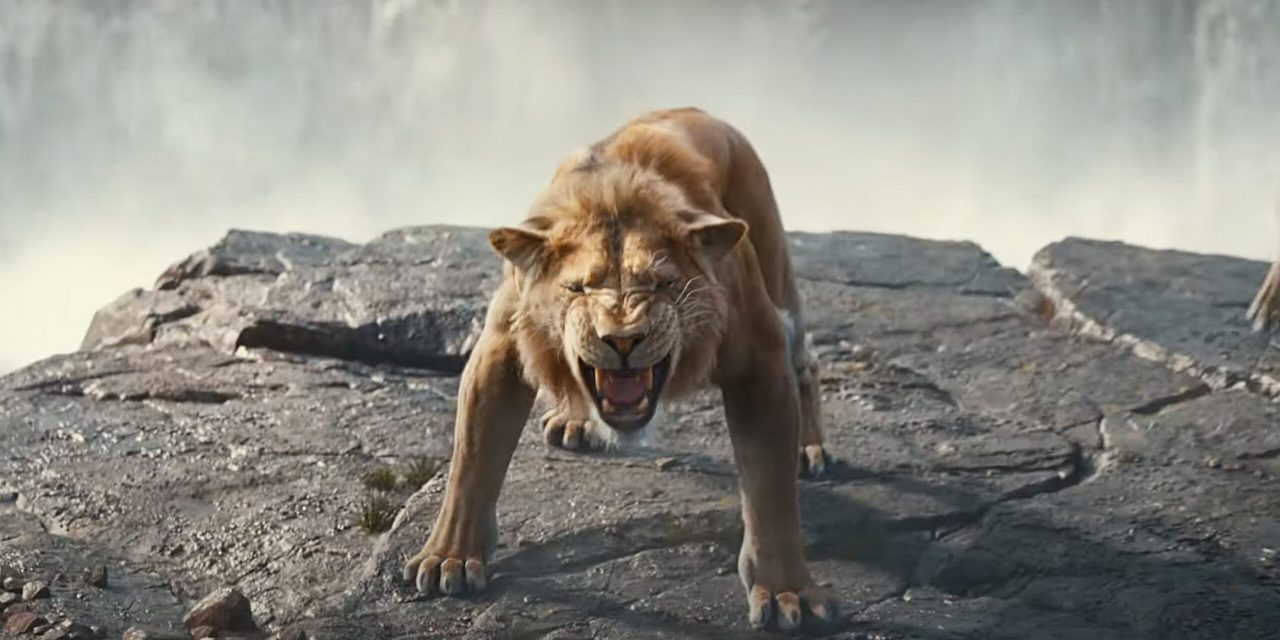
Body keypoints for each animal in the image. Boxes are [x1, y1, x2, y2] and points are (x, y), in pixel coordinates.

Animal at [401, 107, 835, 631]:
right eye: (578, 288)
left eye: (662, 284)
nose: (623, 339)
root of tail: (701, 112)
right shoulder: (501, 347)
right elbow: (471, 461)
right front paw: (448, 557)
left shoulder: (760, 358)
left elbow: (771, 495)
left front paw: (788, 591)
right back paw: (574, 421)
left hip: (773, 264)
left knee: (806, 360)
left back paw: (810, 449)